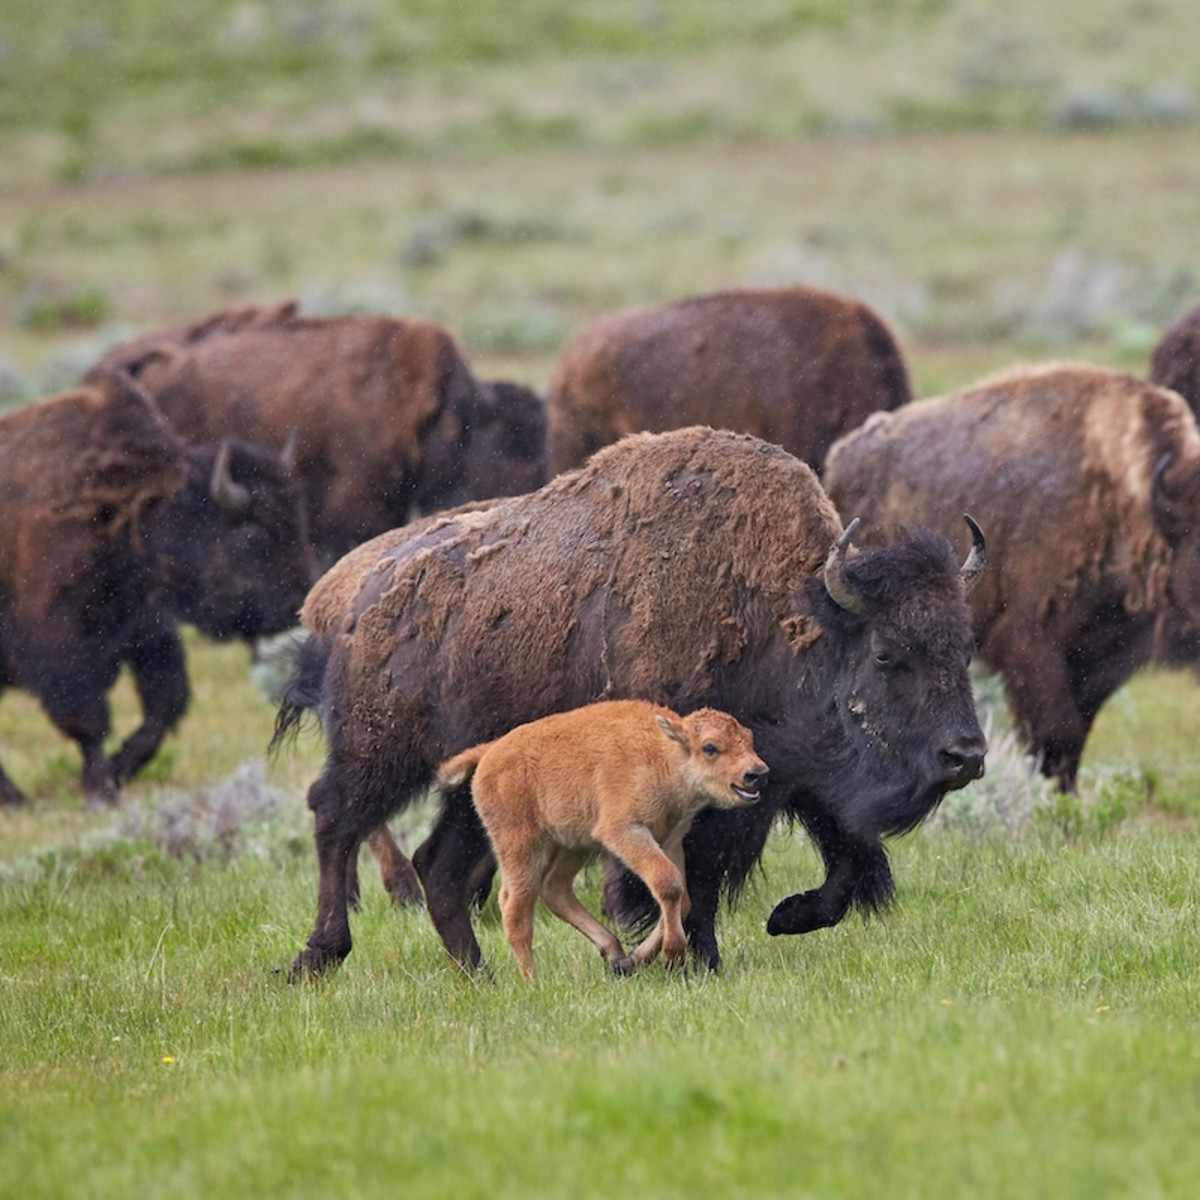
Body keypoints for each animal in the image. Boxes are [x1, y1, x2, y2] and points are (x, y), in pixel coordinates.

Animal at [0, 371, 316, 807]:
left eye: (299, 521)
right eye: (253, 533)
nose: (302, 601)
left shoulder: (148, 631)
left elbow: (162, 709)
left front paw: (120, 770)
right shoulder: (62, 648)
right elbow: (88, 721)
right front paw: (100, 789)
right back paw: (16, 798)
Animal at [275, 426, 986, 978]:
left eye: (965, 646)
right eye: (887, 653)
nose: (967, 755)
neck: (787, 617)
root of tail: (354, 602)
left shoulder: (789, 780)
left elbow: (847, 859)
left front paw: (783, 919)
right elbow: (686, 878)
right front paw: (694, 961)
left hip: (475, 783)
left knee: (441, 865)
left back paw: (481, 975)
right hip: (379, 753)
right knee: (335, 818)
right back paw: (318, 956)